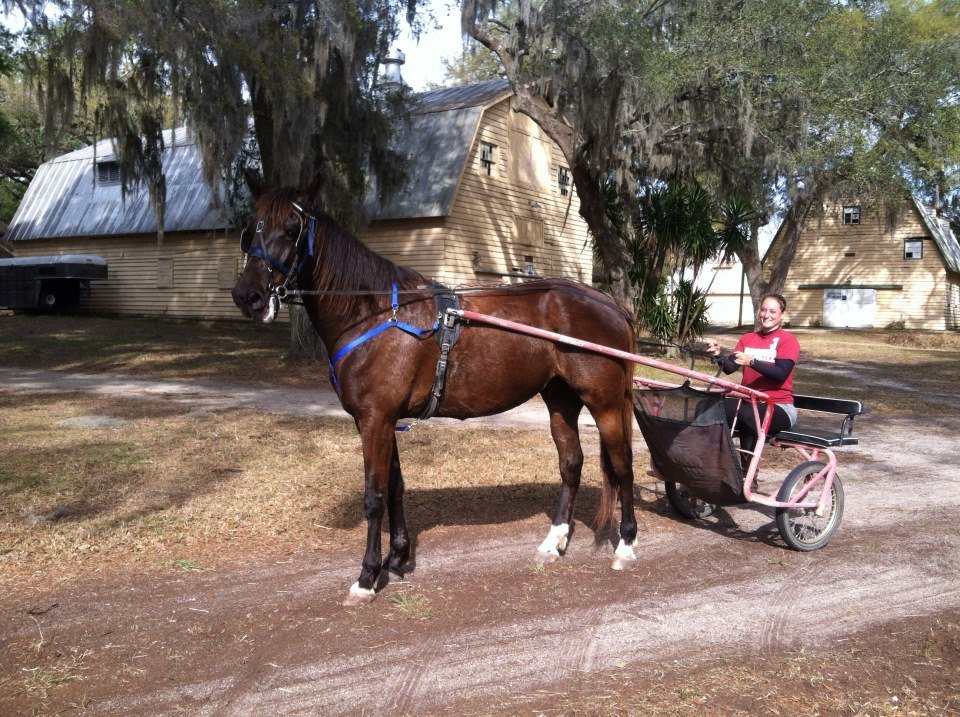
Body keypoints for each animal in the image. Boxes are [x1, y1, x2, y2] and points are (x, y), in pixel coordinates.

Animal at [232, 187, 638, 606]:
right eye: (250, 230)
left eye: (291, 229)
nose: (248, 296)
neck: (378, 313)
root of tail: (611, 304)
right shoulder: (384, 420)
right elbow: (395, 487)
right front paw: (397, 557)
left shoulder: (375, 420)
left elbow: (375, 496)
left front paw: (366, 577)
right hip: (560, 399)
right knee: (571, 464)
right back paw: (553, 543)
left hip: (606, 402)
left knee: (623, 465)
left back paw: (625, 546)